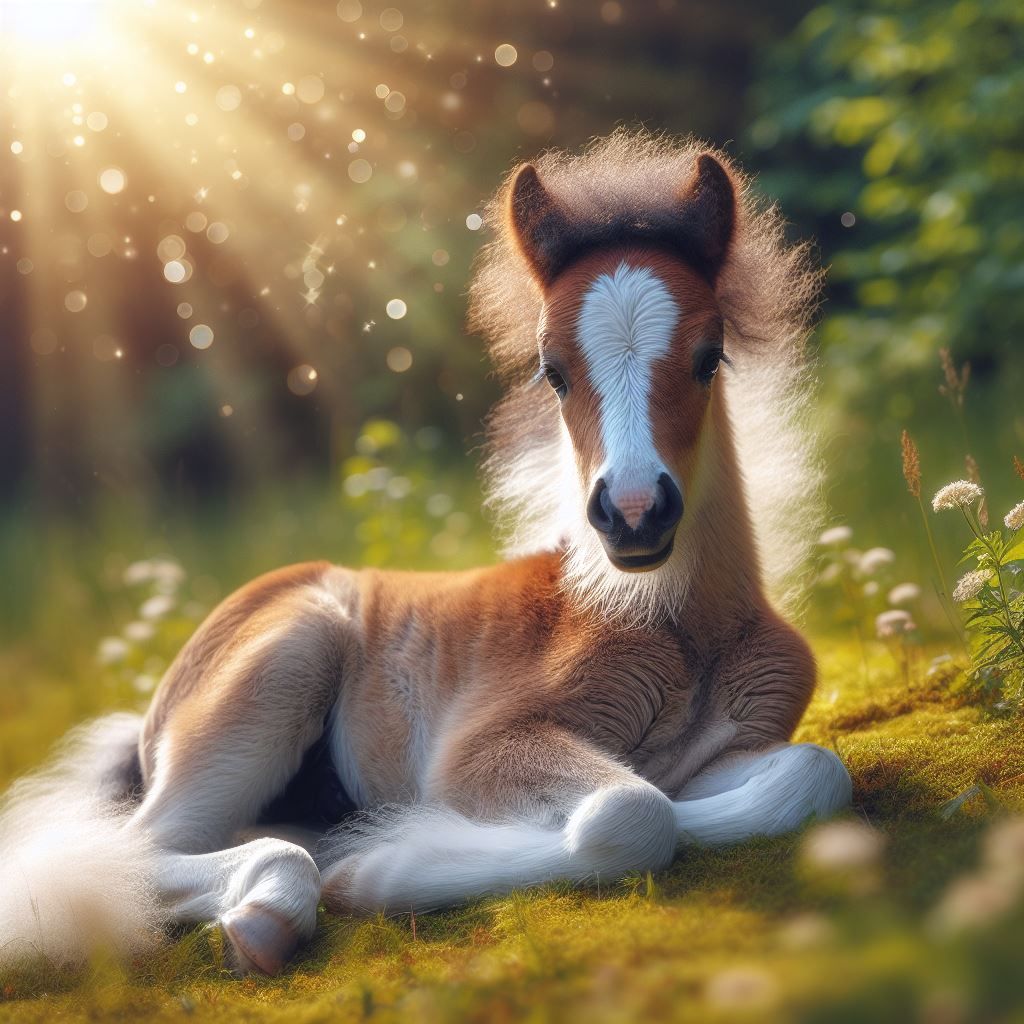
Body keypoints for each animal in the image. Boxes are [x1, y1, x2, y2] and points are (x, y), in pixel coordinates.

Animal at [0, 131, 852, 977]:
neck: (681, 631)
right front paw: (384, 866)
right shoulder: (482, 751)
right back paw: (277, 901)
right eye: (553, 372)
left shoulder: (734, 747)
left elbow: (810, 773)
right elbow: (636, 810)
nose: (634, 514)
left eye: (710, 356)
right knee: (121, 852)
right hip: (284, 662)